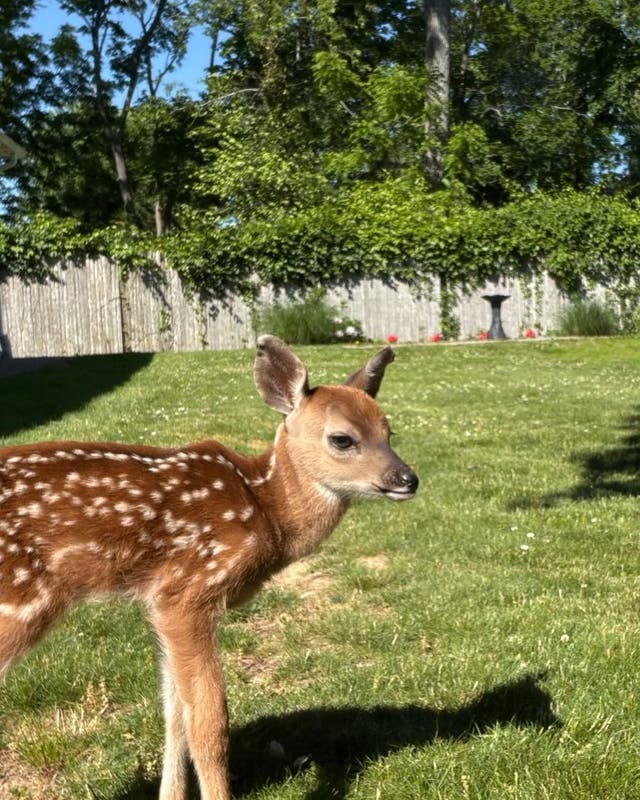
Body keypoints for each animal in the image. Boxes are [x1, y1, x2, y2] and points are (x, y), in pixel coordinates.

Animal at [0, 335, 418, 800]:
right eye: (343, 439)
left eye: (389, 432)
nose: (407, 479)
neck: (268, 513)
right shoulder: (192, 589)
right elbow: (209, 720)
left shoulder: (158, 600)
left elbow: (175, 714)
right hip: (19, 600)